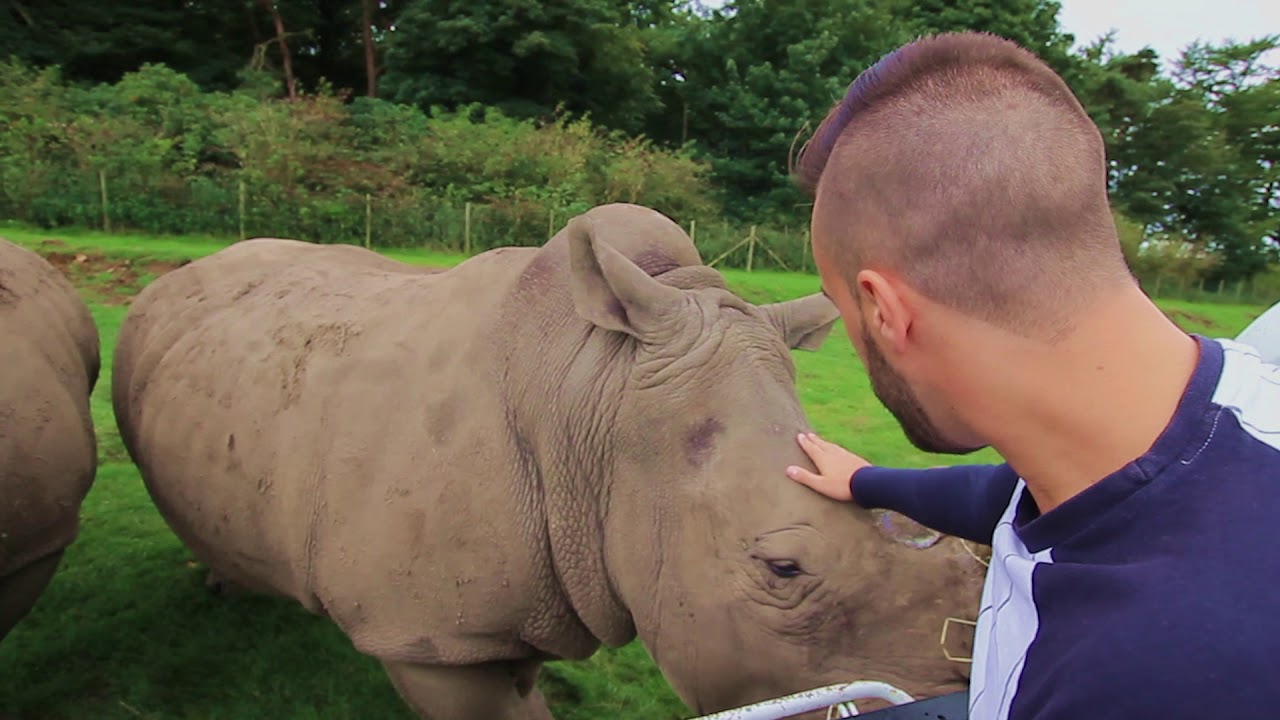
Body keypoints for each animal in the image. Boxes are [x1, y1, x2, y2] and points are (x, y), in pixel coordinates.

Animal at [112, 203, 984, 718]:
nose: (944, 701)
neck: (594, 397)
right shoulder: (431, 636)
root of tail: (174, 278)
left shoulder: (524, 602)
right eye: (781, 569)